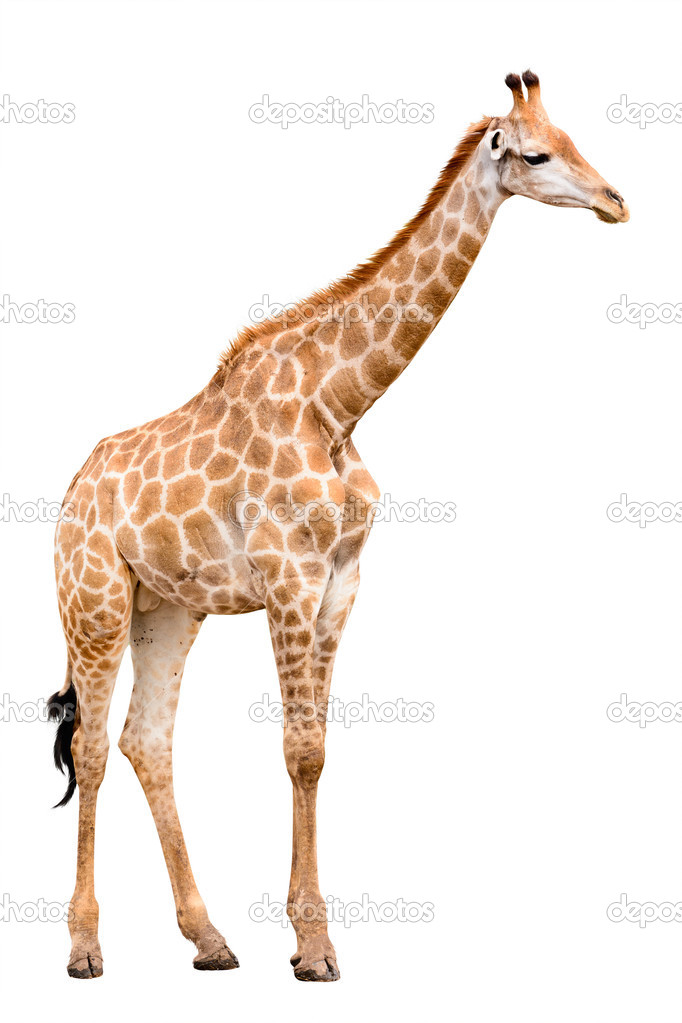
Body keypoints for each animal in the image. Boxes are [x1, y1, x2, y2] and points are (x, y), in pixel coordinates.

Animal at [48, 71, 628, 982]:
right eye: (536, 154)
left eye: (576, 139)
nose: (616, 202)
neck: (340, 403)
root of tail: (71, 493)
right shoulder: (289, 577)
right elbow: (298, 749)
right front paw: (316, 948)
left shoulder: (341, 584)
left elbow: (319, 749)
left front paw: (303, 937)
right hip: (94, 601)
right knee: (93, 746)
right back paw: (84, 947)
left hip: (168, 609)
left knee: (148, 741)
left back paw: (209, 938)